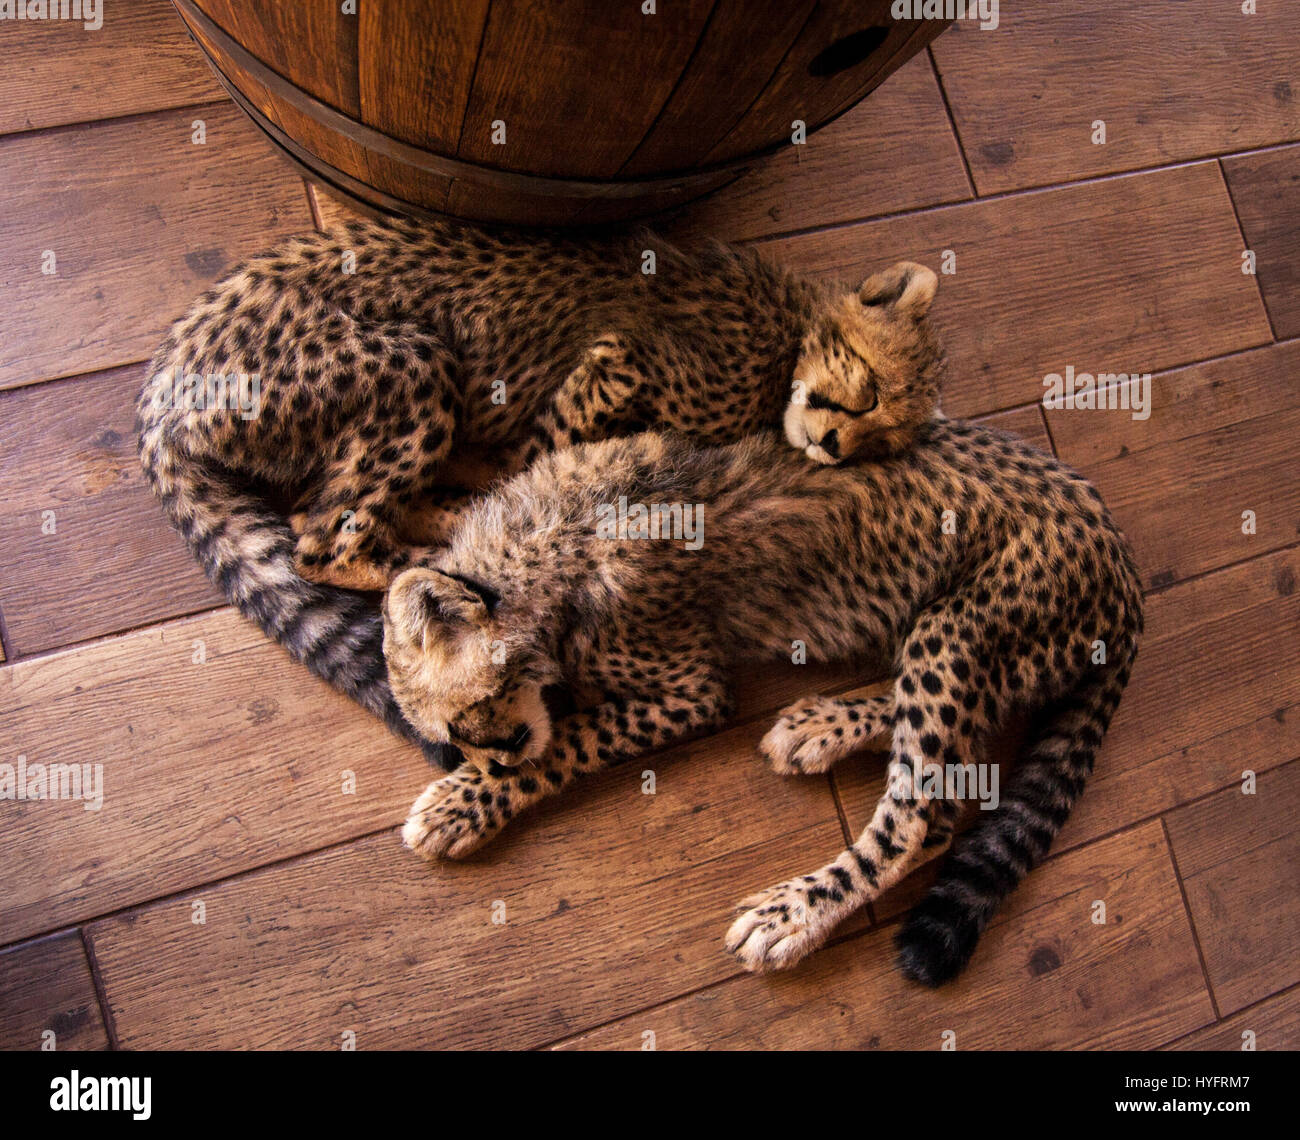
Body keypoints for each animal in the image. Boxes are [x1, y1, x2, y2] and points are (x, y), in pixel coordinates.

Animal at [137, 213, 943, 759]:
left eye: (883, 442)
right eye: (872, 394)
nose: (835, 446)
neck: (789, 338)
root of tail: (167, 376)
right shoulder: (613, 365)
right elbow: (544, 457)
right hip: (413, 359)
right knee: (321, 540)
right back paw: (429, 565)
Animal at [381, 422, 1143, 986]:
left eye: (465, 721)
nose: (495, 756)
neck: (543, 547)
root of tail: (1121, 557)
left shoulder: (694, 692)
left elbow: (577, 735)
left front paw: (462, 802)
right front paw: (414, 508)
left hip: (954, 626)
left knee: (922, 818)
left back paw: (792, 913)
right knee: (960, 764)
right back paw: (820, 727)